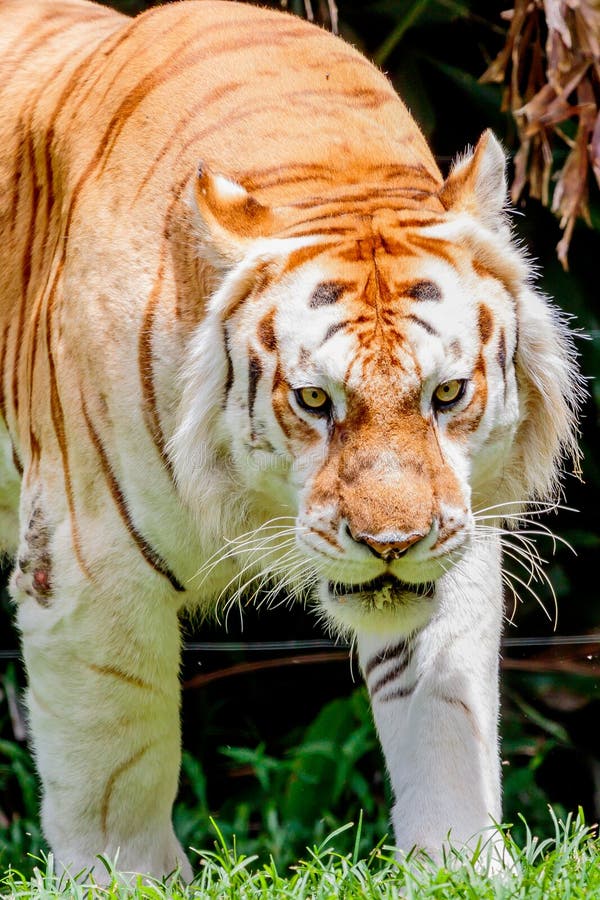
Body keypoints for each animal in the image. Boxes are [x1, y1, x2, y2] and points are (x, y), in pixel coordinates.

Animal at [0, 0, 582, 881]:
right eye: (314, 399)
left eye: (447, 393)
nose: (391, 543)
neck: (326, 163)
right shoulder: (86, 566)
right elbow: (115, 768)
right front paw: (128, 882)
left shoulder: (459, 531)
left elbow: (444, 713)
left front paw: (461, 870)